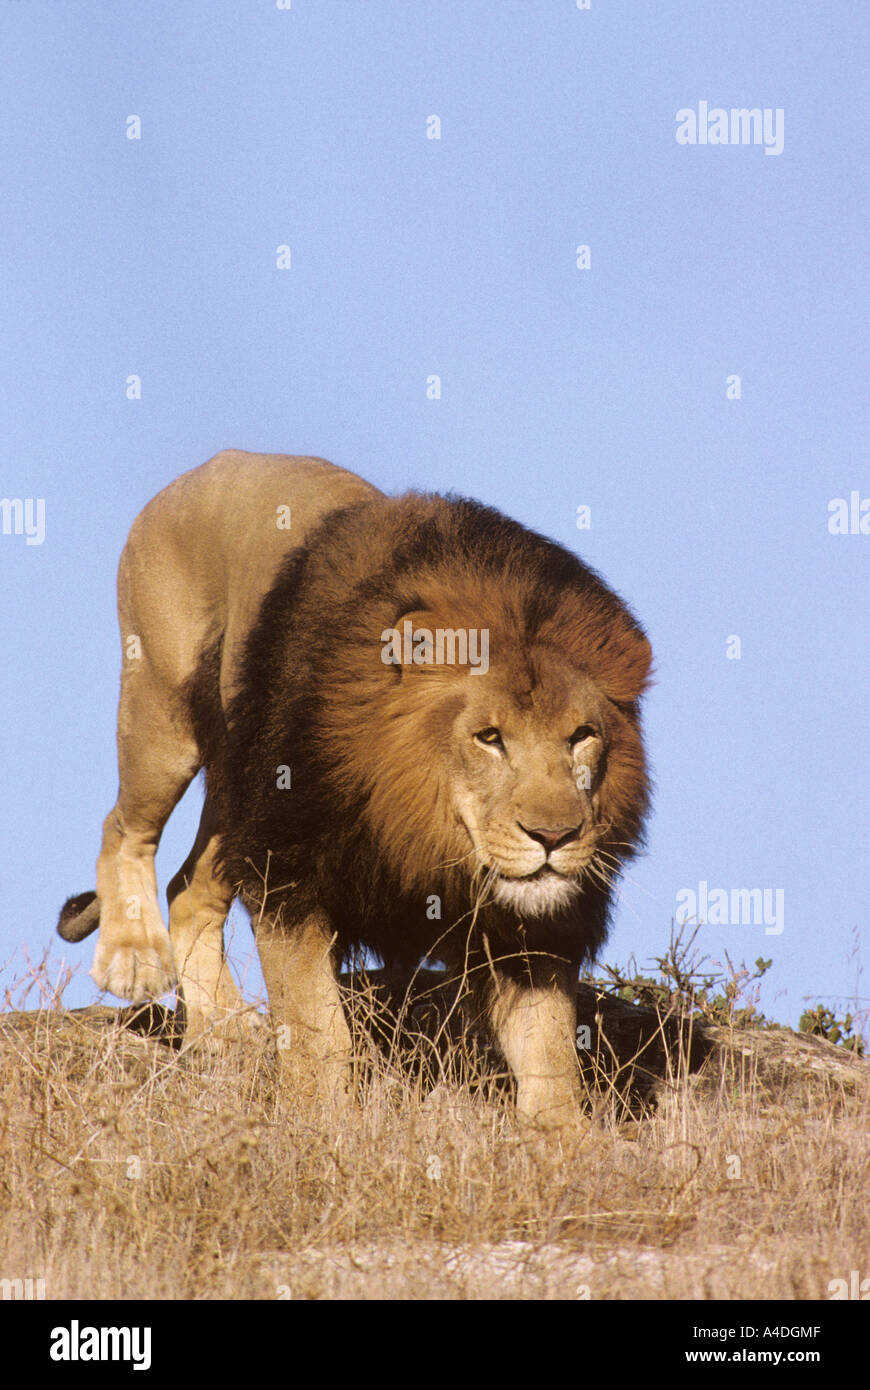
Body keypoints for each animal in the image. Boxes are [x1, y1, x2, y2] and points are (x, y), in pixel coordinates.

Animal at [58, 449, 651, 1130]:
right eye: (489, 738)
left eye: (582, 736)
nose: (555, 835)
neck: (420, 826)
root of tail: (210, 464)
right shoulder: (289, 867)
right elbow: (318, 1030)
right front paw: (319, 1123)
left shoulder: (531, 934)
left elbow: (550, 1056)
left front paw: (561, 1137)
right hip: (164, 709)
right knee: (124, 829)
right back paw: (133, 959)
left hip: (239, 783)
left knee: (188, 887)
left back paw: (223, 1033)